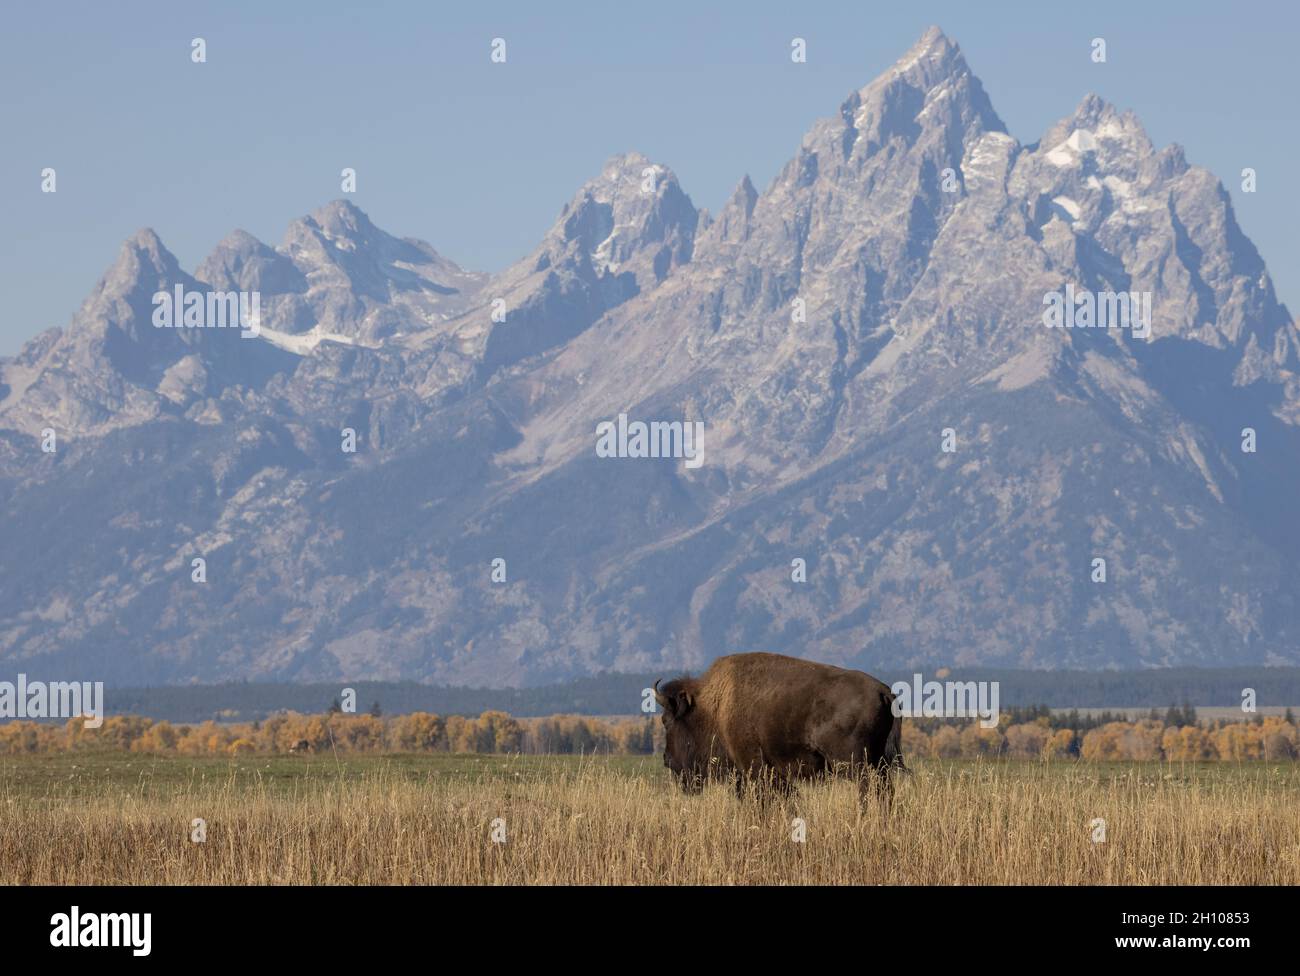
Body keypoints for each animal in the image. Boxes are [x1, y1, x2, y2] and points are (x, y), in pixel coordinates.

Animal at [654, 652, 905, 809]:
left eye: (666, 720)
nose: (666, 759)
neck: (714, 706)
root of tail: (883, 691)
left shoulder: (754, 767)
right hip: (878, 763)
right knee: (885, 791)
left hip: (855, 764)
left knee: (868, 790)